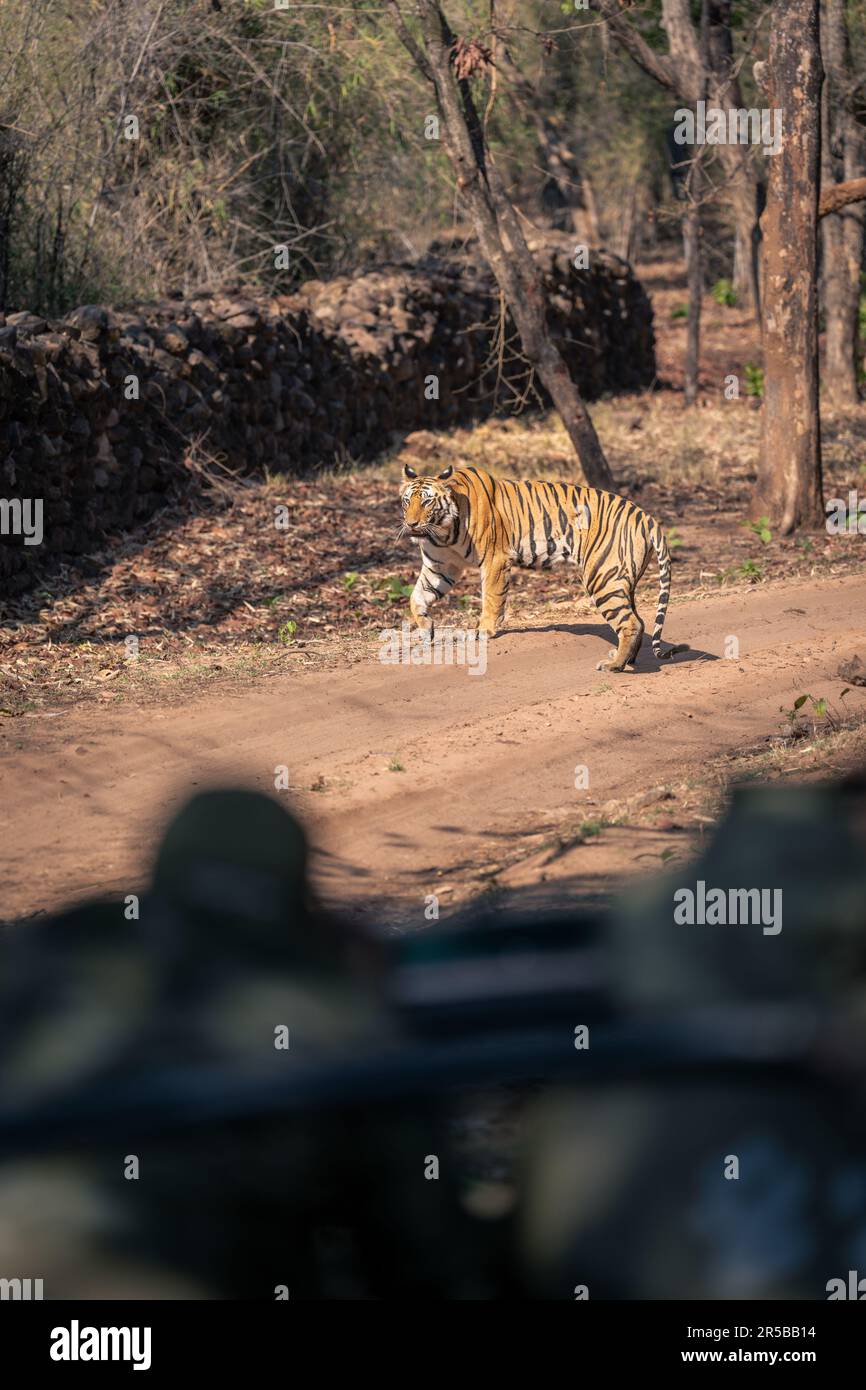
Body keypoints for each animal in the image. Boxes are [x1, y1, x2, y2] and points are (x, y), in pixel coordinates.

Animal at [398, 463, 687, 672]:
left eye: (427, 501)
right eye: (406, 501)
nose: (411, 524)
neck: (442, 532)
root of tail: (646, 516)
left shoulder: (494, 559)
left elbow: (491, 598)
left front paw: (483, 630)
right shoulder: (441, 566)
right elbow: (417, 597)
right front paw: (426, 627)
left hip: (602, 576)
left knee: (631, 622)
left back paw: (613, 665)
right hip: (620, 579)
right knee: (639, 620)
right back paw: (624, 659)